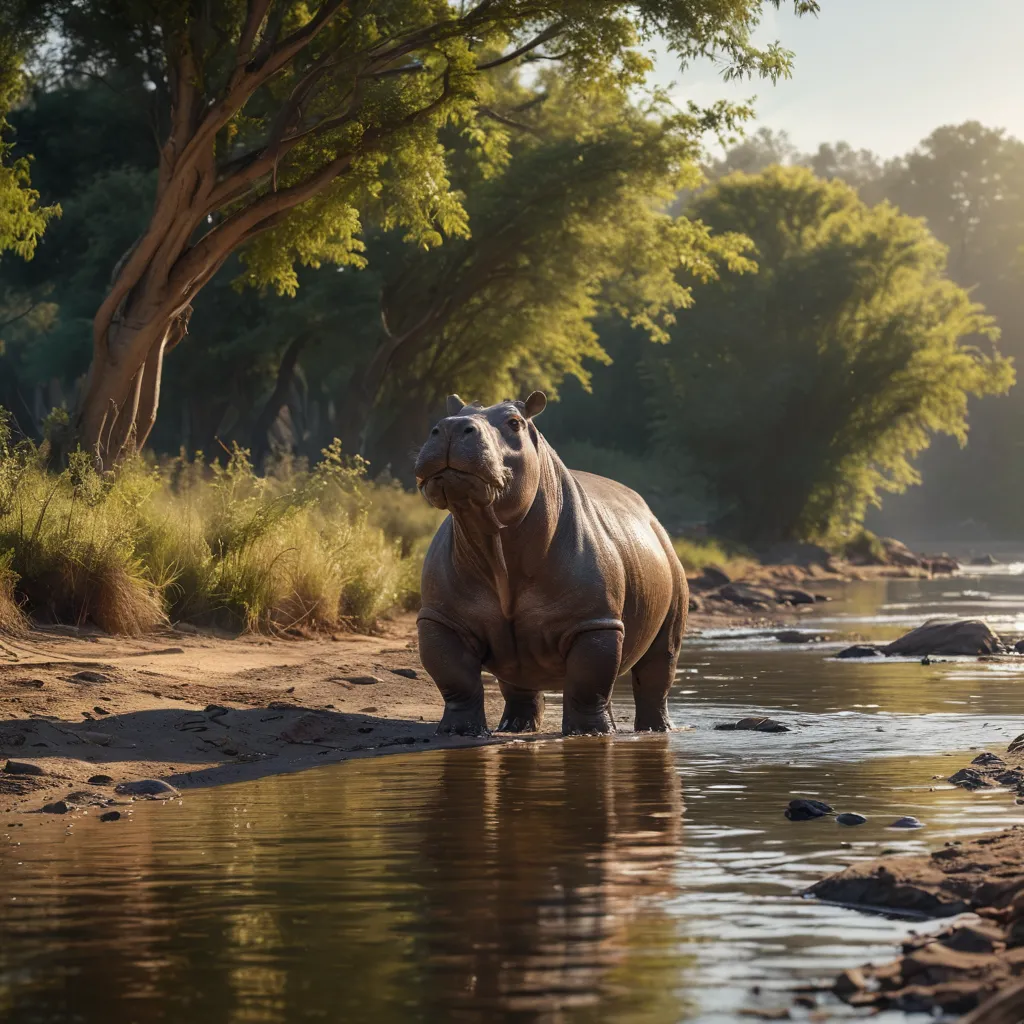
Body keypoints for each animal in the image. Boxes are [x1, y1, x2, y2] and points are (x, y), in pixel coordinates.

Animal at [413, 392, 688, 736]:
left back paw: (655, 730)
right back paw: (515, 729)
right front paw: (458, 732)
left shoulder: (595, 621)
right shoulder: (440, 618)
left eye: (514, 423)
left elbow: (589, 679)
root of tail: (651, 516)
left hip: (671, 563)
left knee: (660, 661)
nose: (451, 427)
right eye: (441, 423)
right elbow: (454, 676)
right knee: (516, 674)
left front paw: (588, 734)